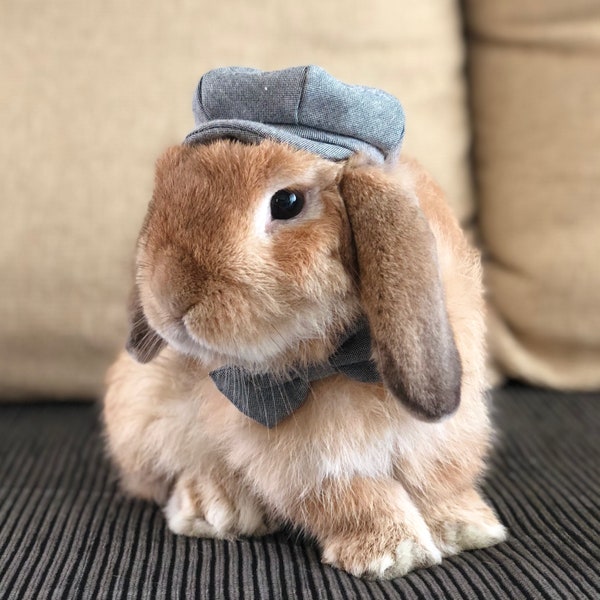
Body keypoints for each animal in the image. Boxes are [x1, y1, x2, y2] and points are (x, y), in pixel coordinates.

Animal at [103, 138, 506, 580]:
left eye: (287, 202)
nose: (169, 296)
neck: (346, 354)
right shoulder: (309, 464)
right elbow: (355, 498)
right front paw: (394, 552)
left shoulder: (444, 434)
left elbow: (438, 480)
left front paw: (467, 527)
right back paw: (215, 507)